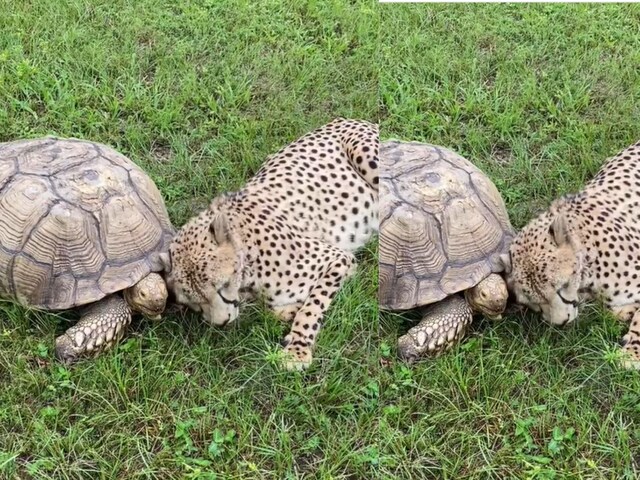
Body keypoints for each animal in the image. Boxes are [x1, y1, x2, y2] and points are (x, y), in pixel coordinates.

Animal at [166, 118, 378, 370]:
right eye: (195, 303)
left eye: (222, 285)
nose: (221, 323)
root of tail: (347, 119)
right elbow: (269, 308)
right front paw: (286, 311)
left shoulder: (338, 258)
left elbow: (312, 306)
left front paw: (297, 349)